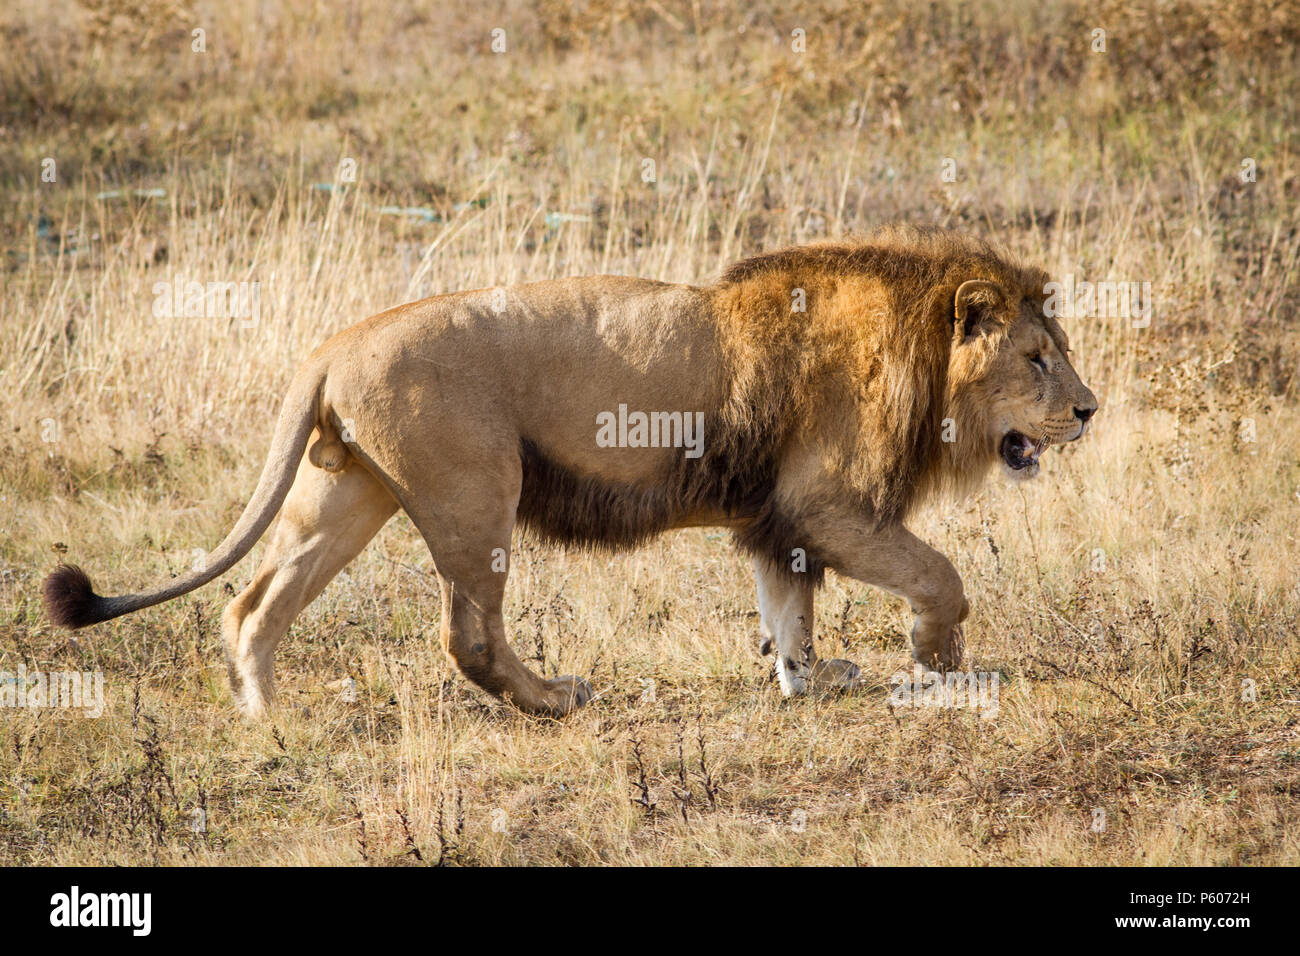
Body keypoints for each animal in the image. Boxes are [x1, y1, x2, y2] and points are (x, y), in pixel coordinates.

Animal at [42, 224, 1097, 718]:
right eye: (1037, 359)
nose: (1090, 409)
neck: (918, 355)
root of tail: (335, 343)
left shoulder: (779, 518)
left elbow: (787, 612)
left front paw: (809, 683)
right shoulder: (826, 504)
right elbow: (940, 575)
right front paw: (936, 658)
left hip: (344, 495)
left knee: (254, 604)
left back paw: (270, 718)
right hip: (477, 493)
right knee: (467, 635)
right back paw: (555, 700)